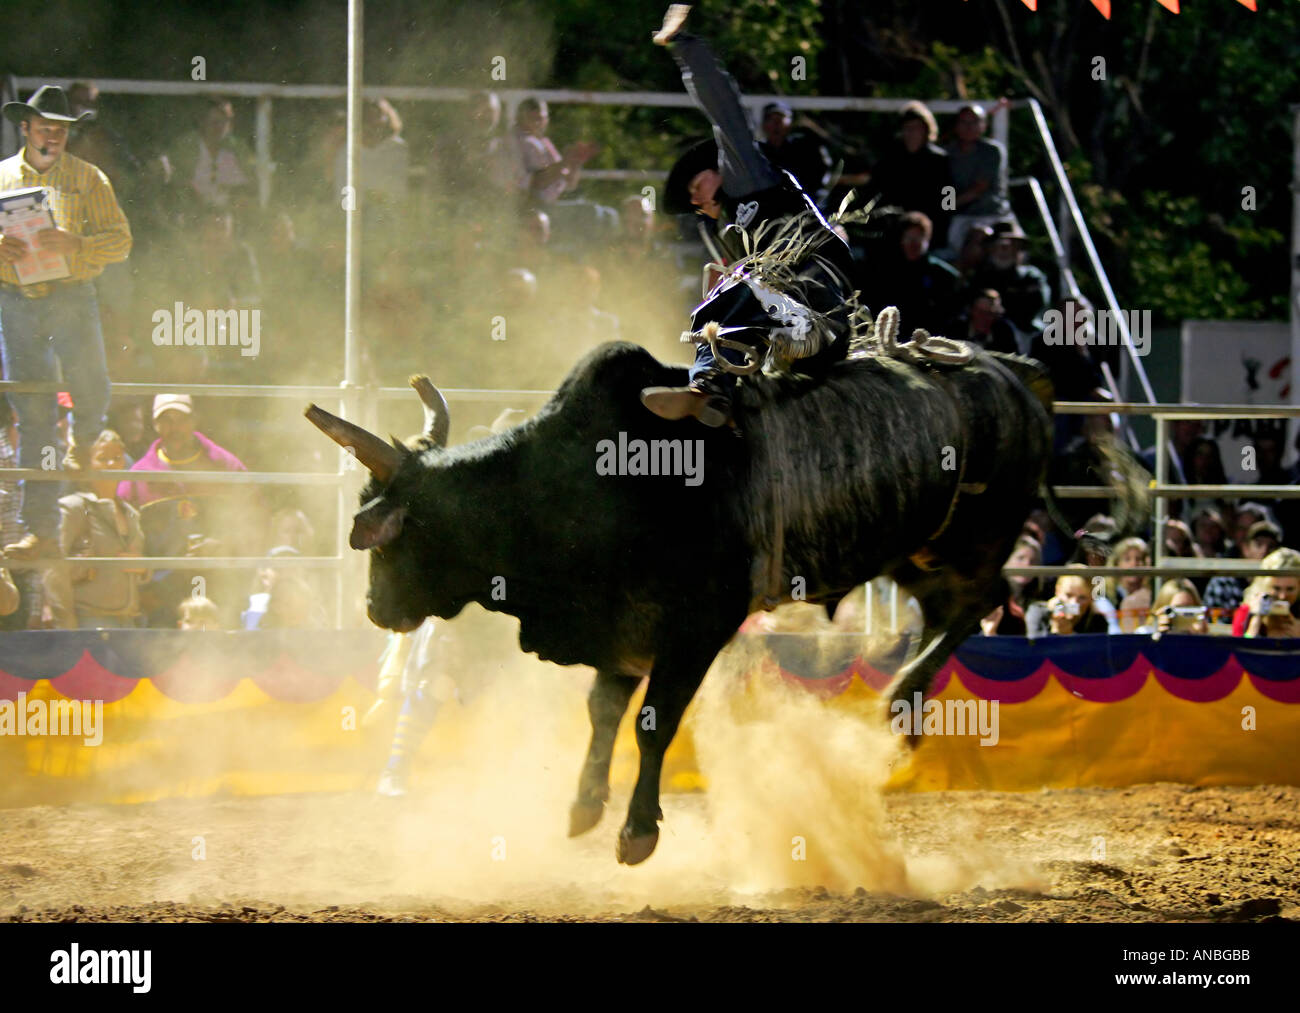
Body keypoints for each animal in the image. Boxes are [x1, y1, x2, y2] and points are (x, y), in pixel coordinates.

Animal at [306, 338, 1054, 864]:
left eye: (387, 544)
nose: (374, 609)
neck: (580, 482)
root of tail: (1015, 378)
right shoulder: (621, 629)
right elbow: (604, 710)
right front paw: (584, 805)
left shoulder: (697, 629)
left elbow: (653, 724)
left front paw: (638, 831)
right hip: (917, 551)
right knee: (951, 610)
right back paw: (908, 705)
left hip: (972, 540)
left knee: (982, 598)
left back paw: (900, 697)